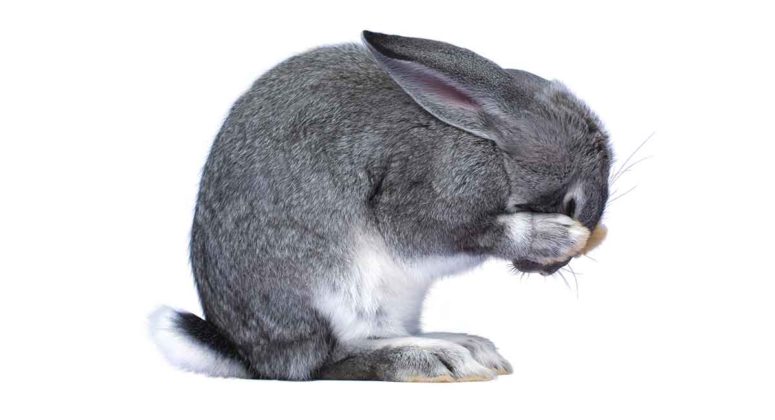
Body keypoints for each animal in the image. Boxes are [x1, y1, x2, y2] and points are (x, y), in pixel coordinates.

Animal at [149, 31, 612, 382]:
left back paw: (465, 346)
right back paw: (435, 360)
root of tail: (247, 355)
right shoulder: (423, 201)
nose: (548, 270)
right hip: (337, 286)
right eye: (571, 202)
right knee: (327, 361)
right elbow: (474, 230)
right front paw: (555, 236)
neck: (490, 143)